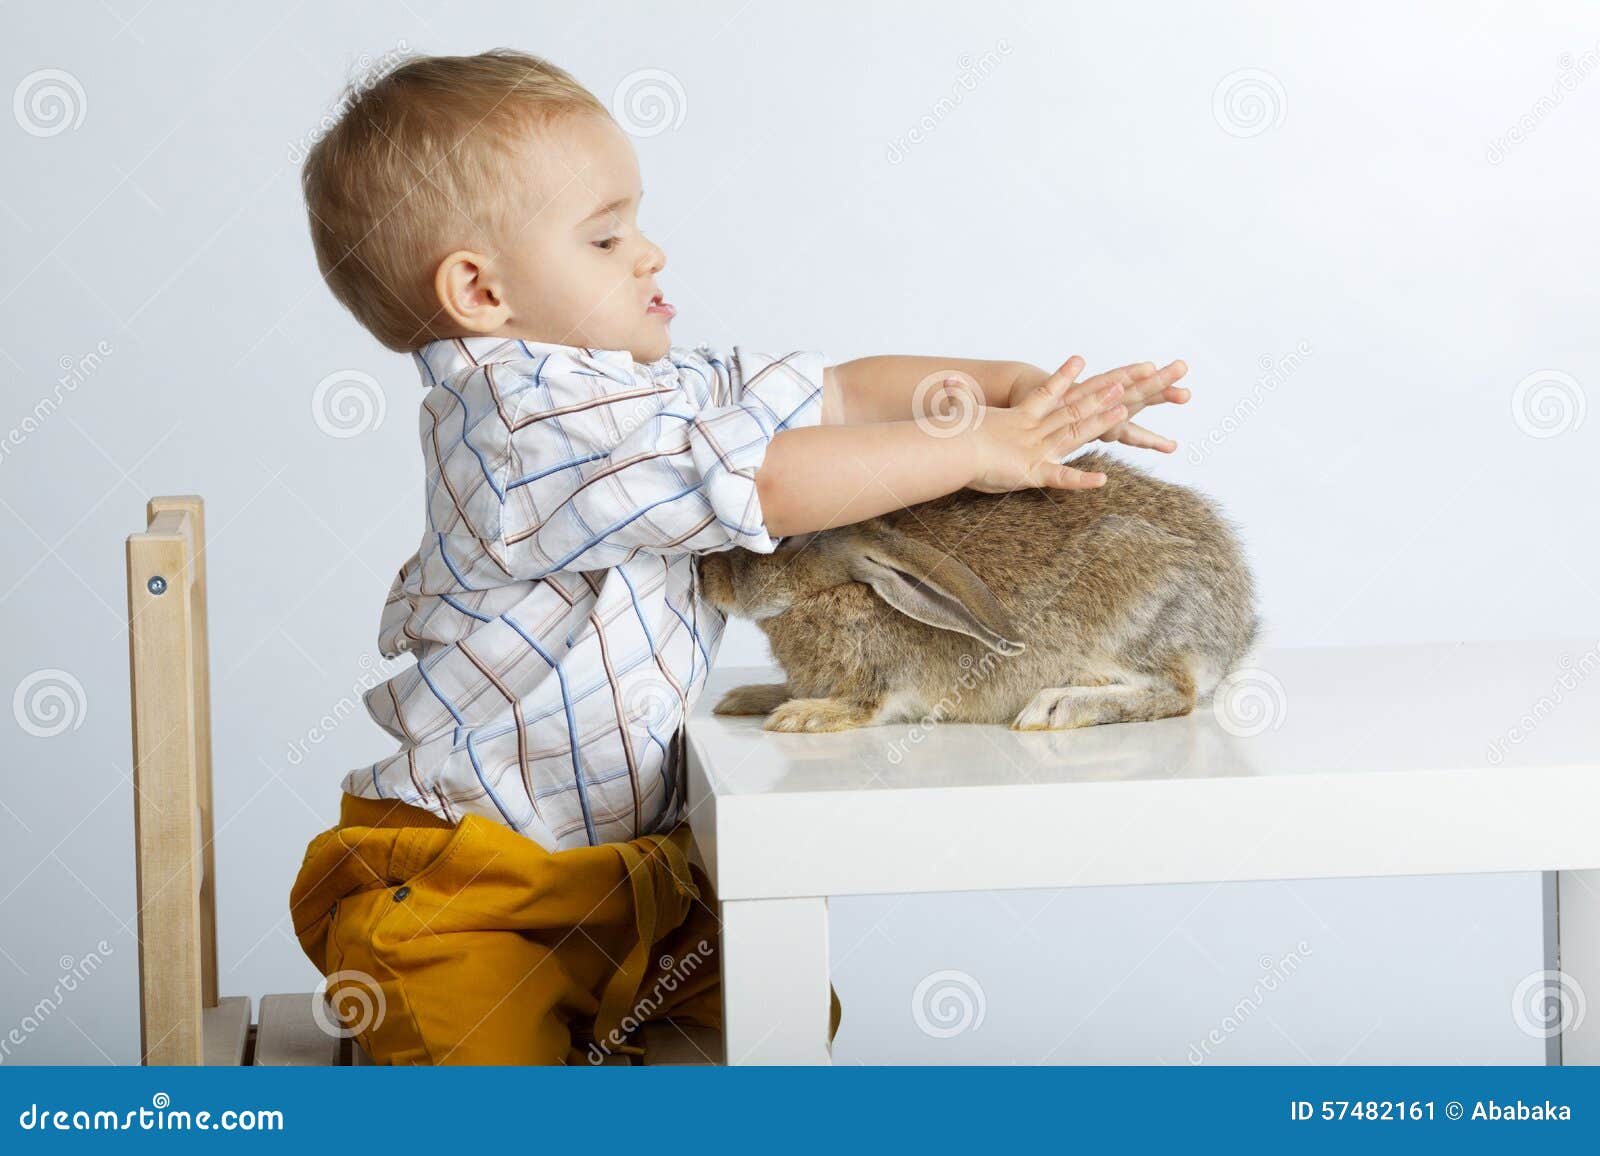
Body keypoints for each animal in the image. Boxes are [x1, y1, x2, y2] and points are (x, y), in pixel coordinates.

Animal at [694, 449, 1261, 733]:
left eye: (781, 539)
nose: (708, 575)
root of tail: (1235, 631)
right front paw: (751, 697)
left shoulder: (881, 679)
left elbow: (864, 706)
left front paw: (802, 716)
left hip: (1135, 621)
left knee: (1176, 694)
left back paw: (1057, 707)